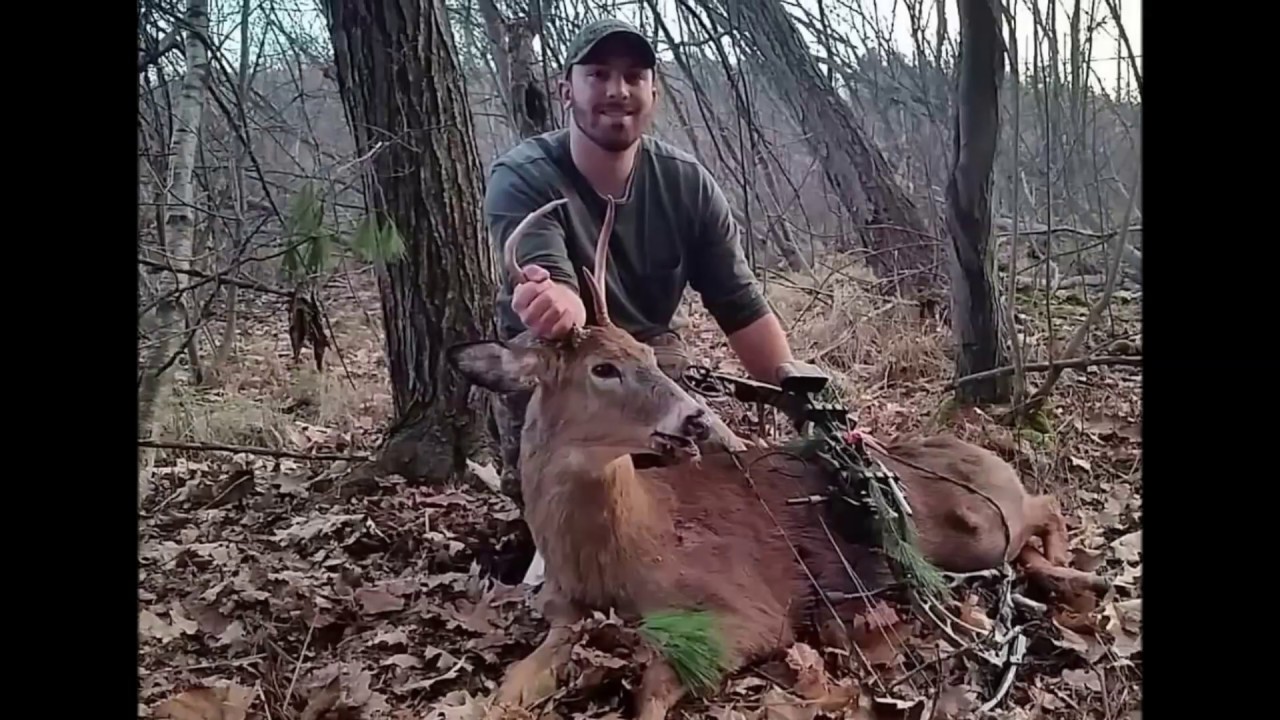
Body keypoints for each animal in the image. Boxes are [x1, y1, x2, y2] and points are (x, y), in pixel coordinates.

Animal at [447, 197, 1109, 719]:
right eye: (603, 369)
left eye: (649, 354)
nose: (693, 417)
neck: (621, 552)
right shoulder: (564, 616)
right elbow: (501, 695)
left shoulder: (750, 610)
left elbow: (651, 692)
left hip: (978, 525)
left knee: (1045, 504)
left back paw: (1077, 571)